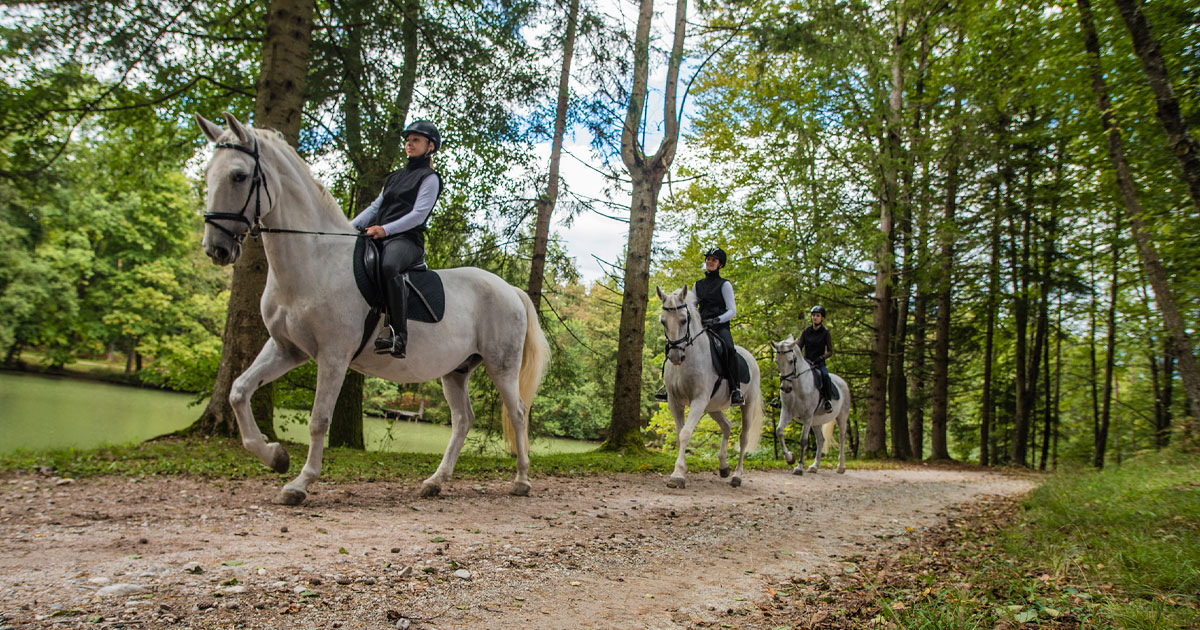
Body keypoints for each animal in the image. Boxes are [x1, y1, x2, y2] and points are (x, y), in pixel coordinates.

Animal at [195, 113, 550, 505]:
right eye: (208, 173)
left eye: (239, 176)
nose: (216, 249)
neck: (315, 260)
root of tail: (509, 289)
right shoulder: (286, 348)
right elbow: (239, 391)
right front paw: (275, 456)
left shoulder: (332, 356)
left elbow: (318, 420)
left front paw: (300, 483)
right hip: (456, 370)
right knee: (463, 419)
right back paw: (435, 482)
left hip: (501, 366)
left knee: (517, 413)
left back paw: (521, 480)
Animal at [656, 286, 764, 489]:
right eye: (663, 321)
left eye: (683, 320)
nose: (675, 357)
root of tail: (750, 357)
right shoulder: (675, 402)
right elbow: (679, 434)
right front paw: (680, 471)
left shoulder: (699, 400)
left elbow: (685, 433)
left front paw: (678, 475)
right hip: (713, 407)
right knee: (727, 426)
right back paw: (723, 466)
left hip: (747, 404)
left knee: (743, 438)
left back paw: (737, 476)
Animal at [769, 335, 850, 474]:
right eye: (776, 361)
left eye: (791, 361)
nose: (785, 388)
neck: (796, 386)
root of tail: (842, 381)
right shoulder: (787, 412)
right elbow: (779, 431)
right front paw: (790, 458)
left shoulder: (807, 415)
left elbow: (803, 440)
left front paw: (799, 467)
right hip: (816, 420)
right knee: (821, 440)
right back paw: (814, 466)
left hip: (841, 417)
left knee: (842, 438)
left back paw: (841, 467)